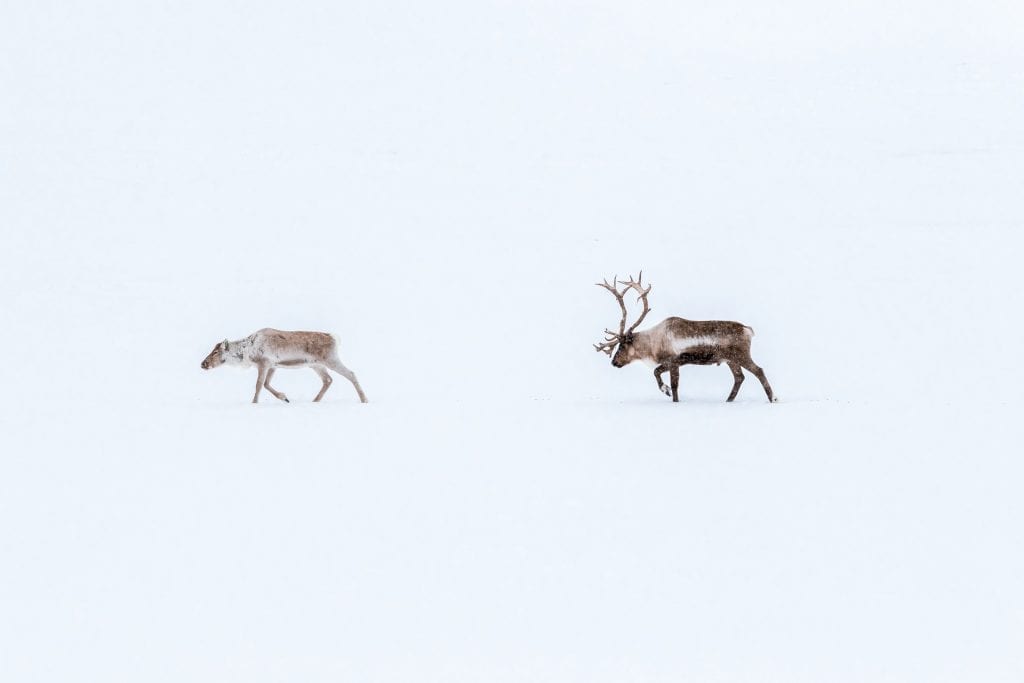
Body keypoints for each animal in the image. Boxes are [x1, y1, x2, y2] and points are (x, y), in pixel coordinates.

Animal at [200, 328, 368, 404]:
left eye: (215, 352)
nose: (203, 364)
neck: (247, 351)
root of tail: (335, 338)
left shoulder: (264, 363)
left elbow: (259, 385)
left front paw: (254, 403)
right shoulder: (273, 365)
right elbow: (266, 384)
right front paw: (284, 398)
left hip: (331, 360)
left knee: (351, 374)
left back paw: (364, 399)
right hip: (316, 365)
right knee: (328, 380)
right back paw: (315, 401)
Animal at [594, 274, 776, 403]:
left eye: (622, 346)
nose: (614, 362)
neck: (652, 343)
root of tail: (748, 330)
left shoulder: (673, 361)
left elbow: (668, 381)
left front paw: (668, 392)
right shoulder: (674, 363)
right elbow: (660, 375)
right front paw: (667, 391)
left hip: (741, 355)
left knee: (758, 371)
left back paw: (773, 398)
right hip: (730, 360)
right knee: (739, 378)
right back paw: (728, 400)